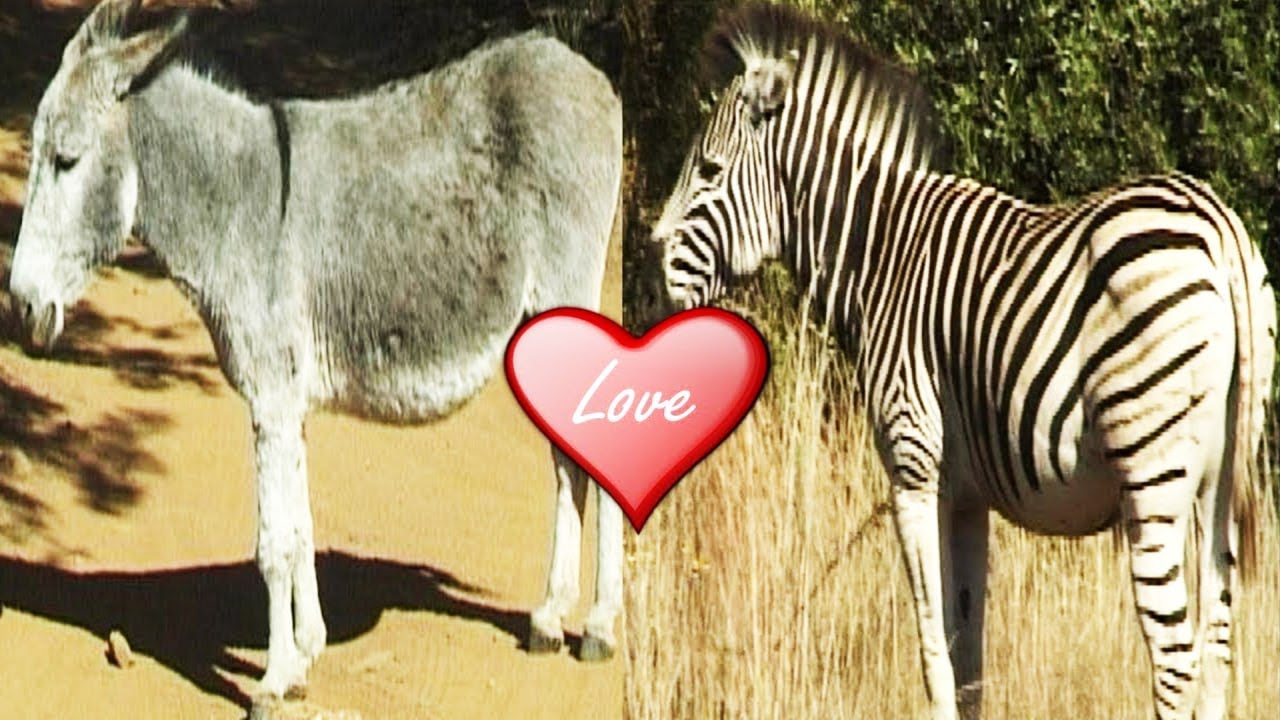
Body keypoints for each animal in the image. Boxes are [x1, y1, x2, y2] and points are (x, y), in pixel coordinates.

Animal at [648, 5, 1277, 719]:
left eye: (708, 170)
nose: (652, 276)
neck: (879, 254)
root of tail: (1219, 225)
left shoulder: (914, 465)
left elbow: (933, 650)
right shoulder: (971, 496)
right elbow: (969, 653)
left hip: (1150, 465)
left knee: (1177, 661)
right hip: (1221, 476)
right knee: (1218, 651)